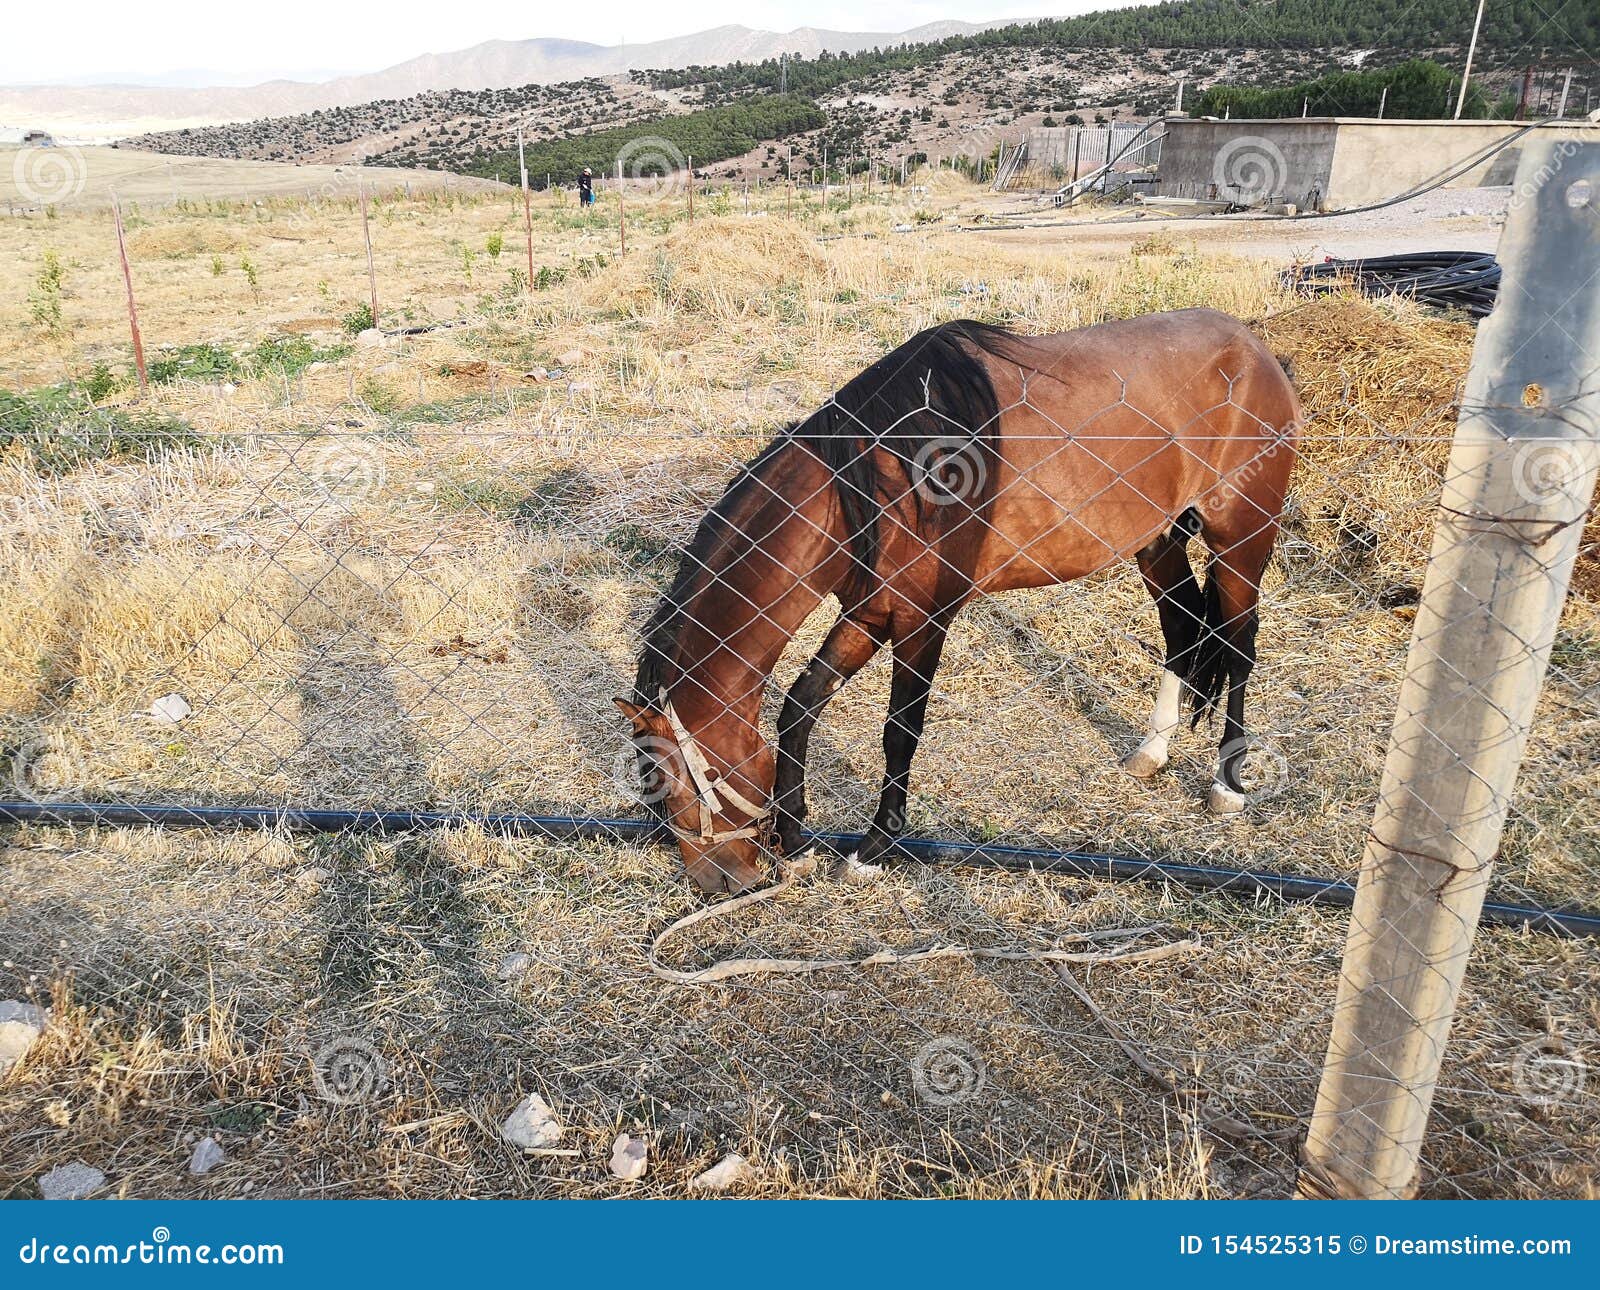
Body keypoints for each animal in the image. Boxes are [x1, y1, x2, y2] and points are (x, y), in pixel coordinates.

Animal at [616, 308, 1301, 895]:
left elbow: (899, 731)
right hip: (1156, 540)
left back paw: (1229, 784)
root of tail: (1260, 352)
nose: (718, 882)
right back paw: (1152, 754)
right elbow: (797, 710)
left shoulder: (925, 620)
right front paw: (799, 839)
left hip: (1241, 537)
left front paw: (873, 849)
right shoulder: (870, 613)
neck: (872, 484)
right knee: (1182, 632)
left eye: (680, 789)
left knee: (1240, 646)